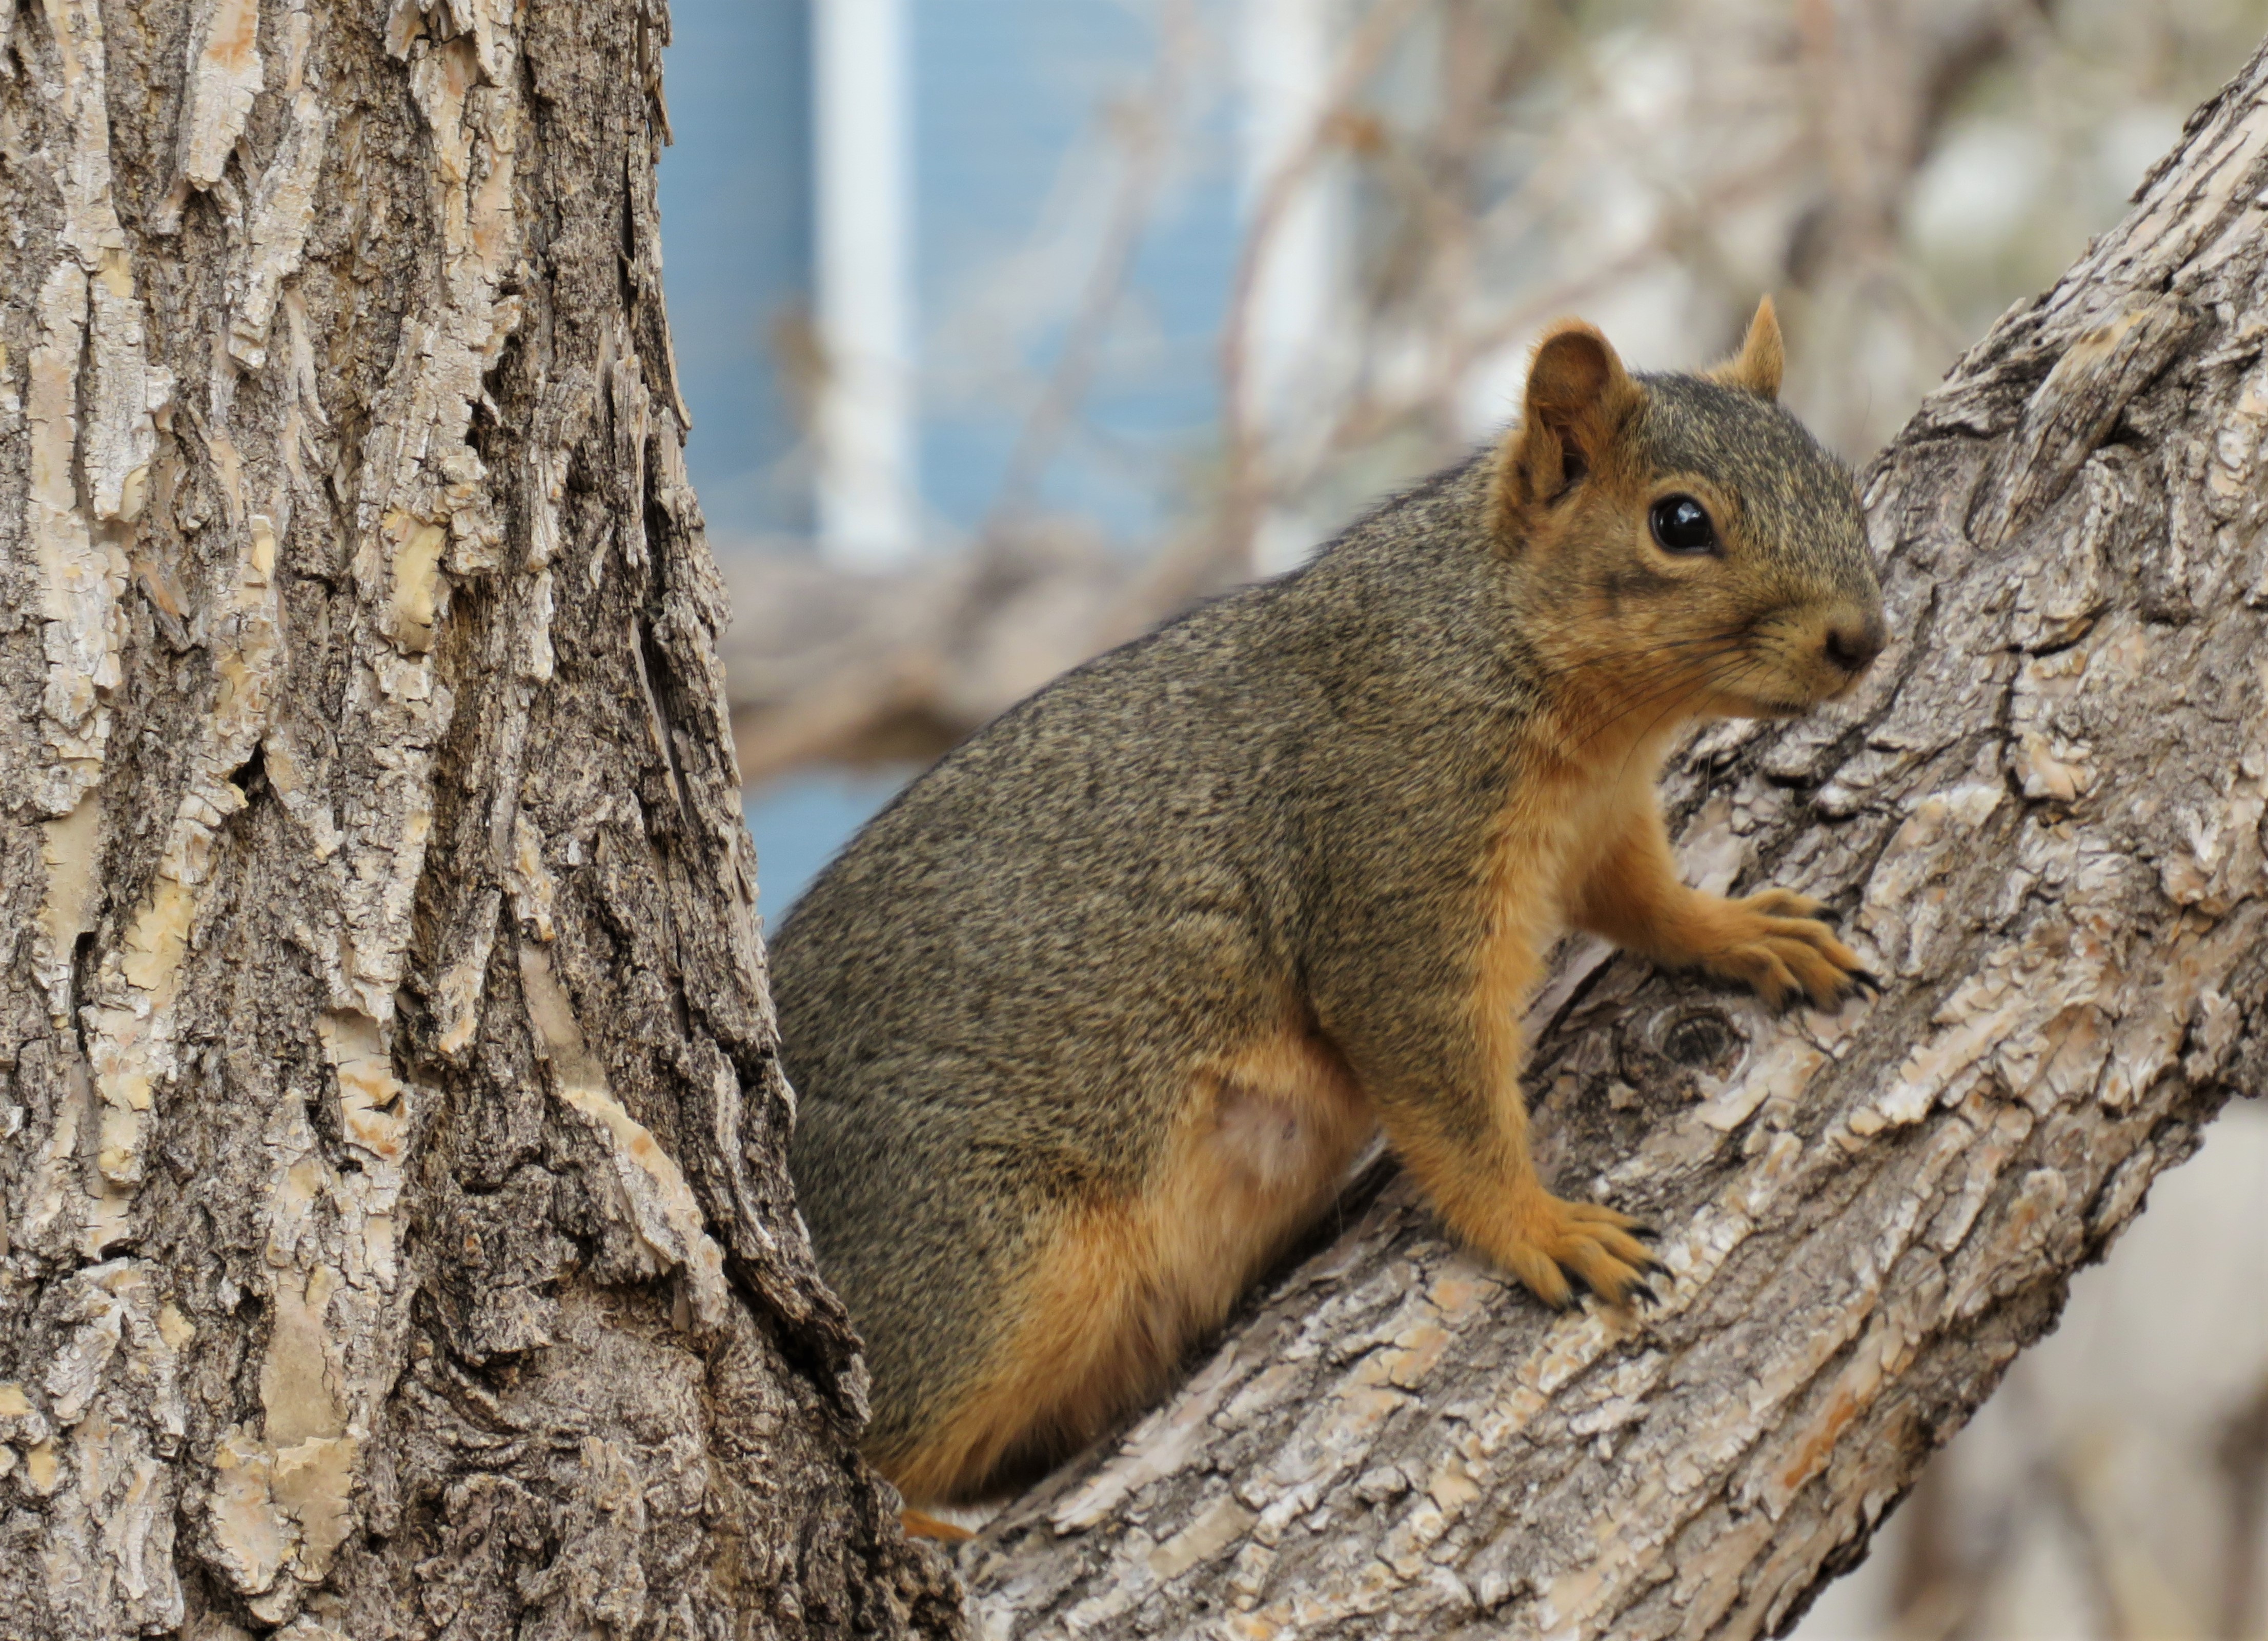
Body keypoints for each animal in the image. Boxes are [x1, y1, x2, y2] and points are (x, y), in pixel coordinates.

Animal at [773, 298, 1886, 1529]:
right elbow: (1448, 1099)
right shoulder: (1390, 871)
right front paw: (1537, 1225)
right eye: (1679, 522)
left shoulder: (1598, 830)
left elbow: (1646, 901)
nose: (1864, 638)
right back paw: (929, 1532)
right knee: (878, 1438)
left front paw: (1741, 932)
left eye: (1838, 480)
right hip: (985, 1262)